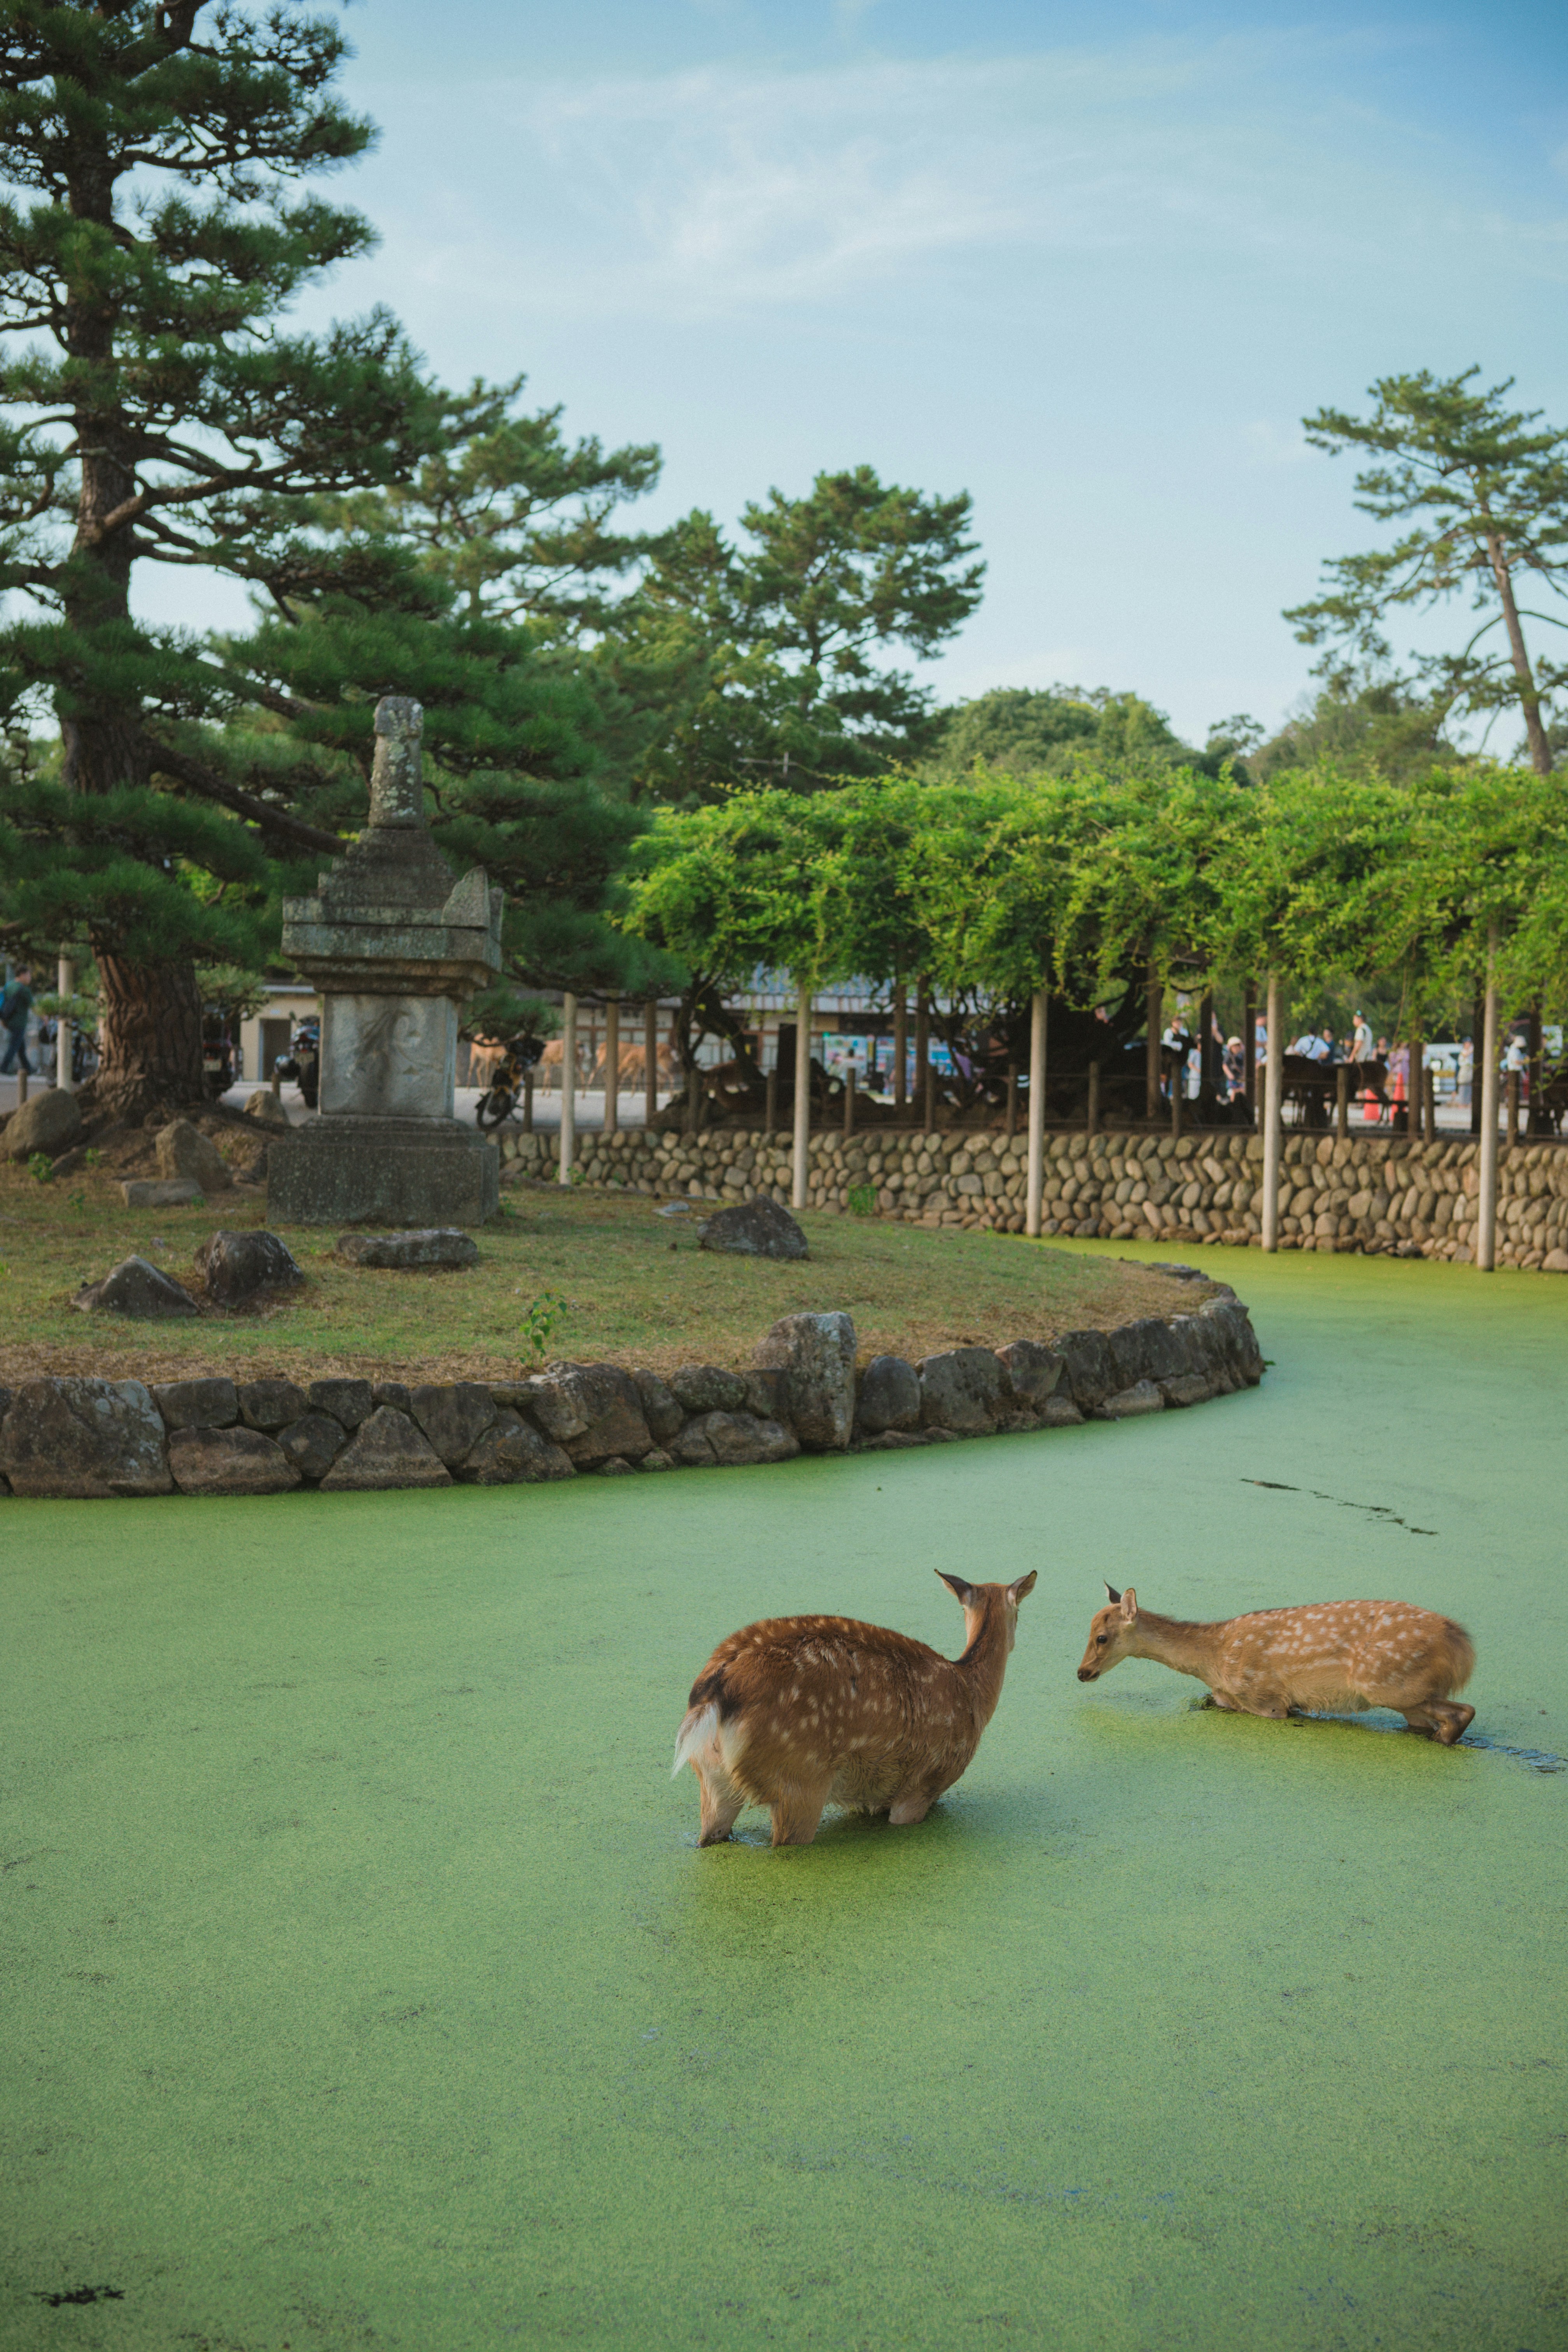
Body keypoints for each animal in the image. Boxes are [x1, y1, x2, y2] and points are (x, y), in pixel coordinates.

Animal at [672, 1571, 1038, 1846]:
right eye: (1020, 1614)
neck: (972, 1693)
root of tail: (713, 1692)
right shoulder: (922, 1788)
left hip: (712, 1776)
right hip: (799, 1780)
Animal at [1077, 1584, 1476, 1743]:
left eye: (1102, 1637)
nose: (1082, 1672)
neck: (1213, 1660)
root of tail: (1462, 1646)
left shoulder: (1266, 1699)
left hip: (1389, 1683)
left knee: (1463, 1712)